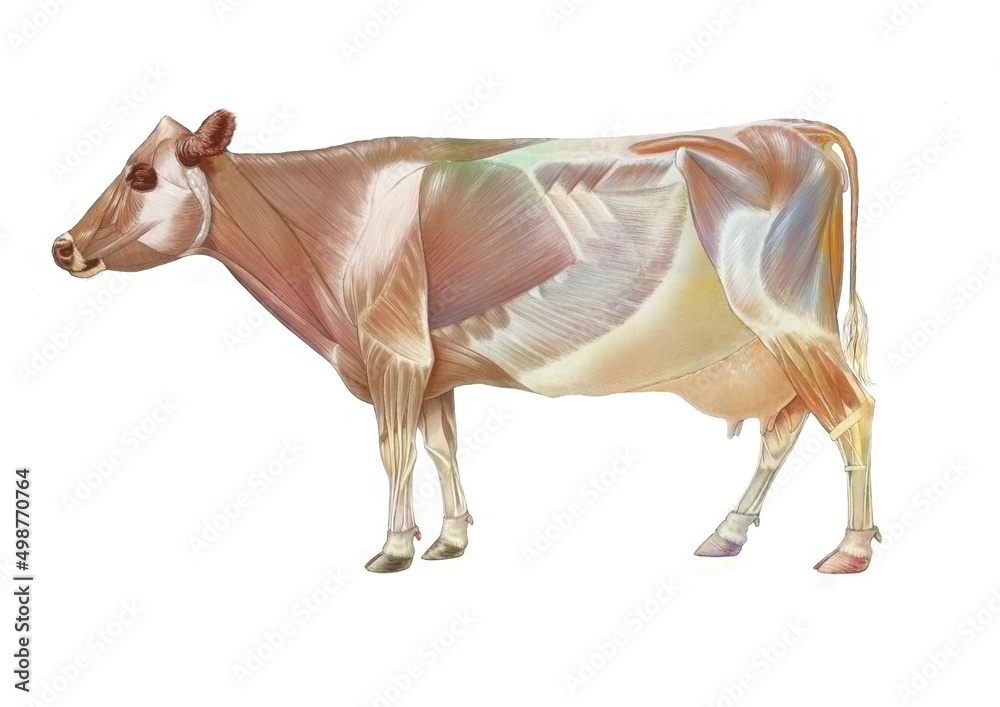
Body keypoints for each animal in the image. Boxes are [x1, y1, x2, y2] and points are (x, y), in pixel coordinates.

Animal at [52, 110, 879, 573]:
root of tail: (793, 127)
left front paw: (393, 548)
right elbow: (442, 444)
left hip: (790, 321)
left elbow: (395, 450)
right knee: (788, 427)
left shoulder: (392, 350)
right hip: (774, 345)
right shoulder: (435, 368)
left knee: (851, 414)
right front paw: (449, 540)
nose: (64, 245)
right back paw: (727, 533)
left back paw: (851, 548)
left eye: (142, 175)